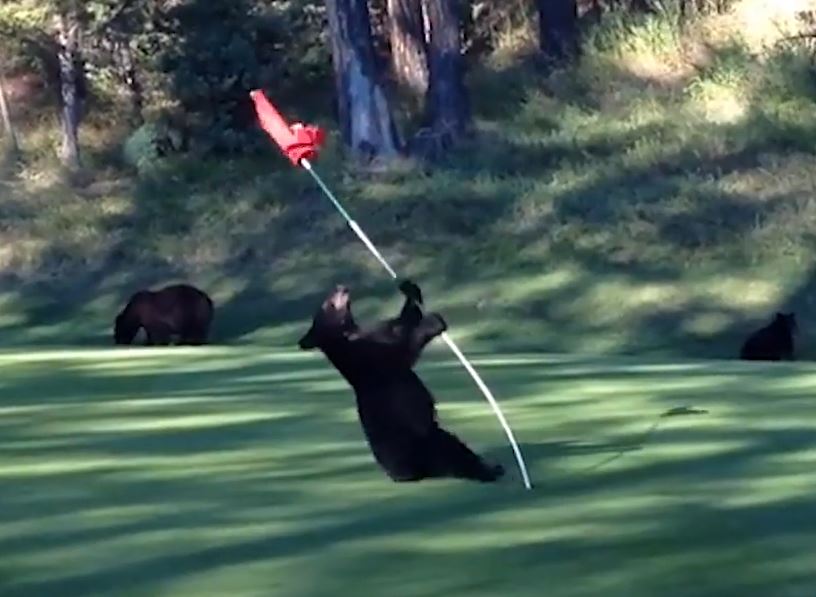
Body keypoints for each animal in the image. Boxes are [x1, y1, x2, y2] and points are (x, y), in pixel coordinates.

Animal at [298, 280, 504, 484]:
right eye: (328, 304)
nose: (340, 286)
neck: (346, 334)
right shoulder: (370, 356)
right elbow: (403, 347)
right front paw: (433, 322)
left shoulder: (375, 334)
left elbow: (403, 322)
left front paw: (409, 289)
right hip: (420, 446)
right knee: (452, 459)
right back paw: (486, 473)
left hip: (435, 435)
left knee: (459, 451)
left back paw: (492, 467)